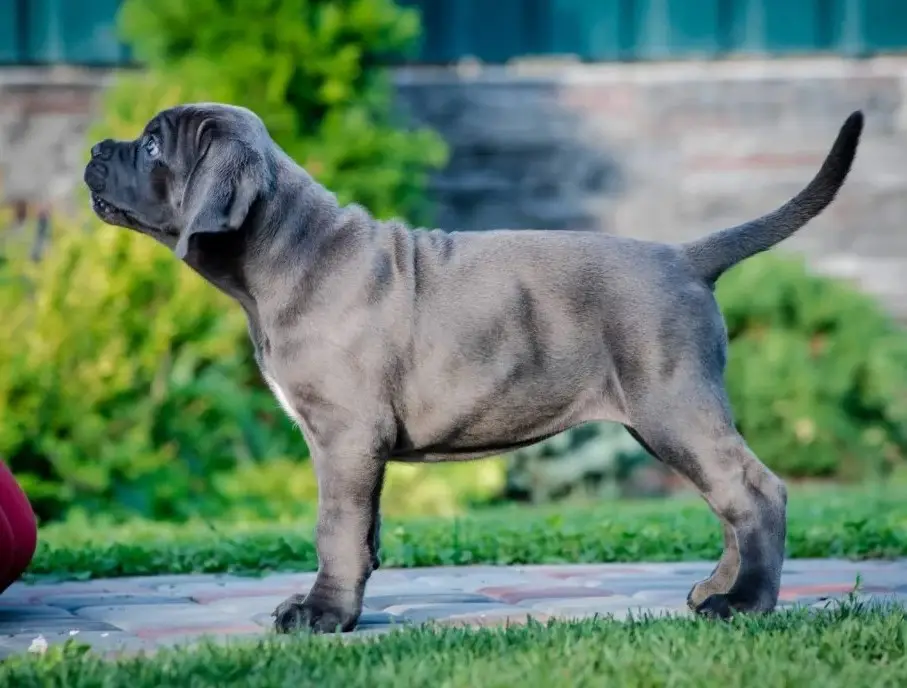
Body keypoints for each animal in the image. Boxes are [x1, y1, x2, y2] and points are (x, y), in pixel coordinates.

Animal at [83, 103, 864, 636]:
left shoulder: (345, 434)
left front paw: (322, 615)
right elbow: (363, 532)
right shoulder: (357, 445)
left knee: (754, 491)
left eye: (151, 144)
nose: (94, 148)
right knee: (728, 499)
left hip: (673, 405)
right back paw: (716, 590)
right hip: (667, 417)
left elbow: (335, 527)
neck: (284, 248)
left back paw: (746, 603)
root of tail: (685, 256)